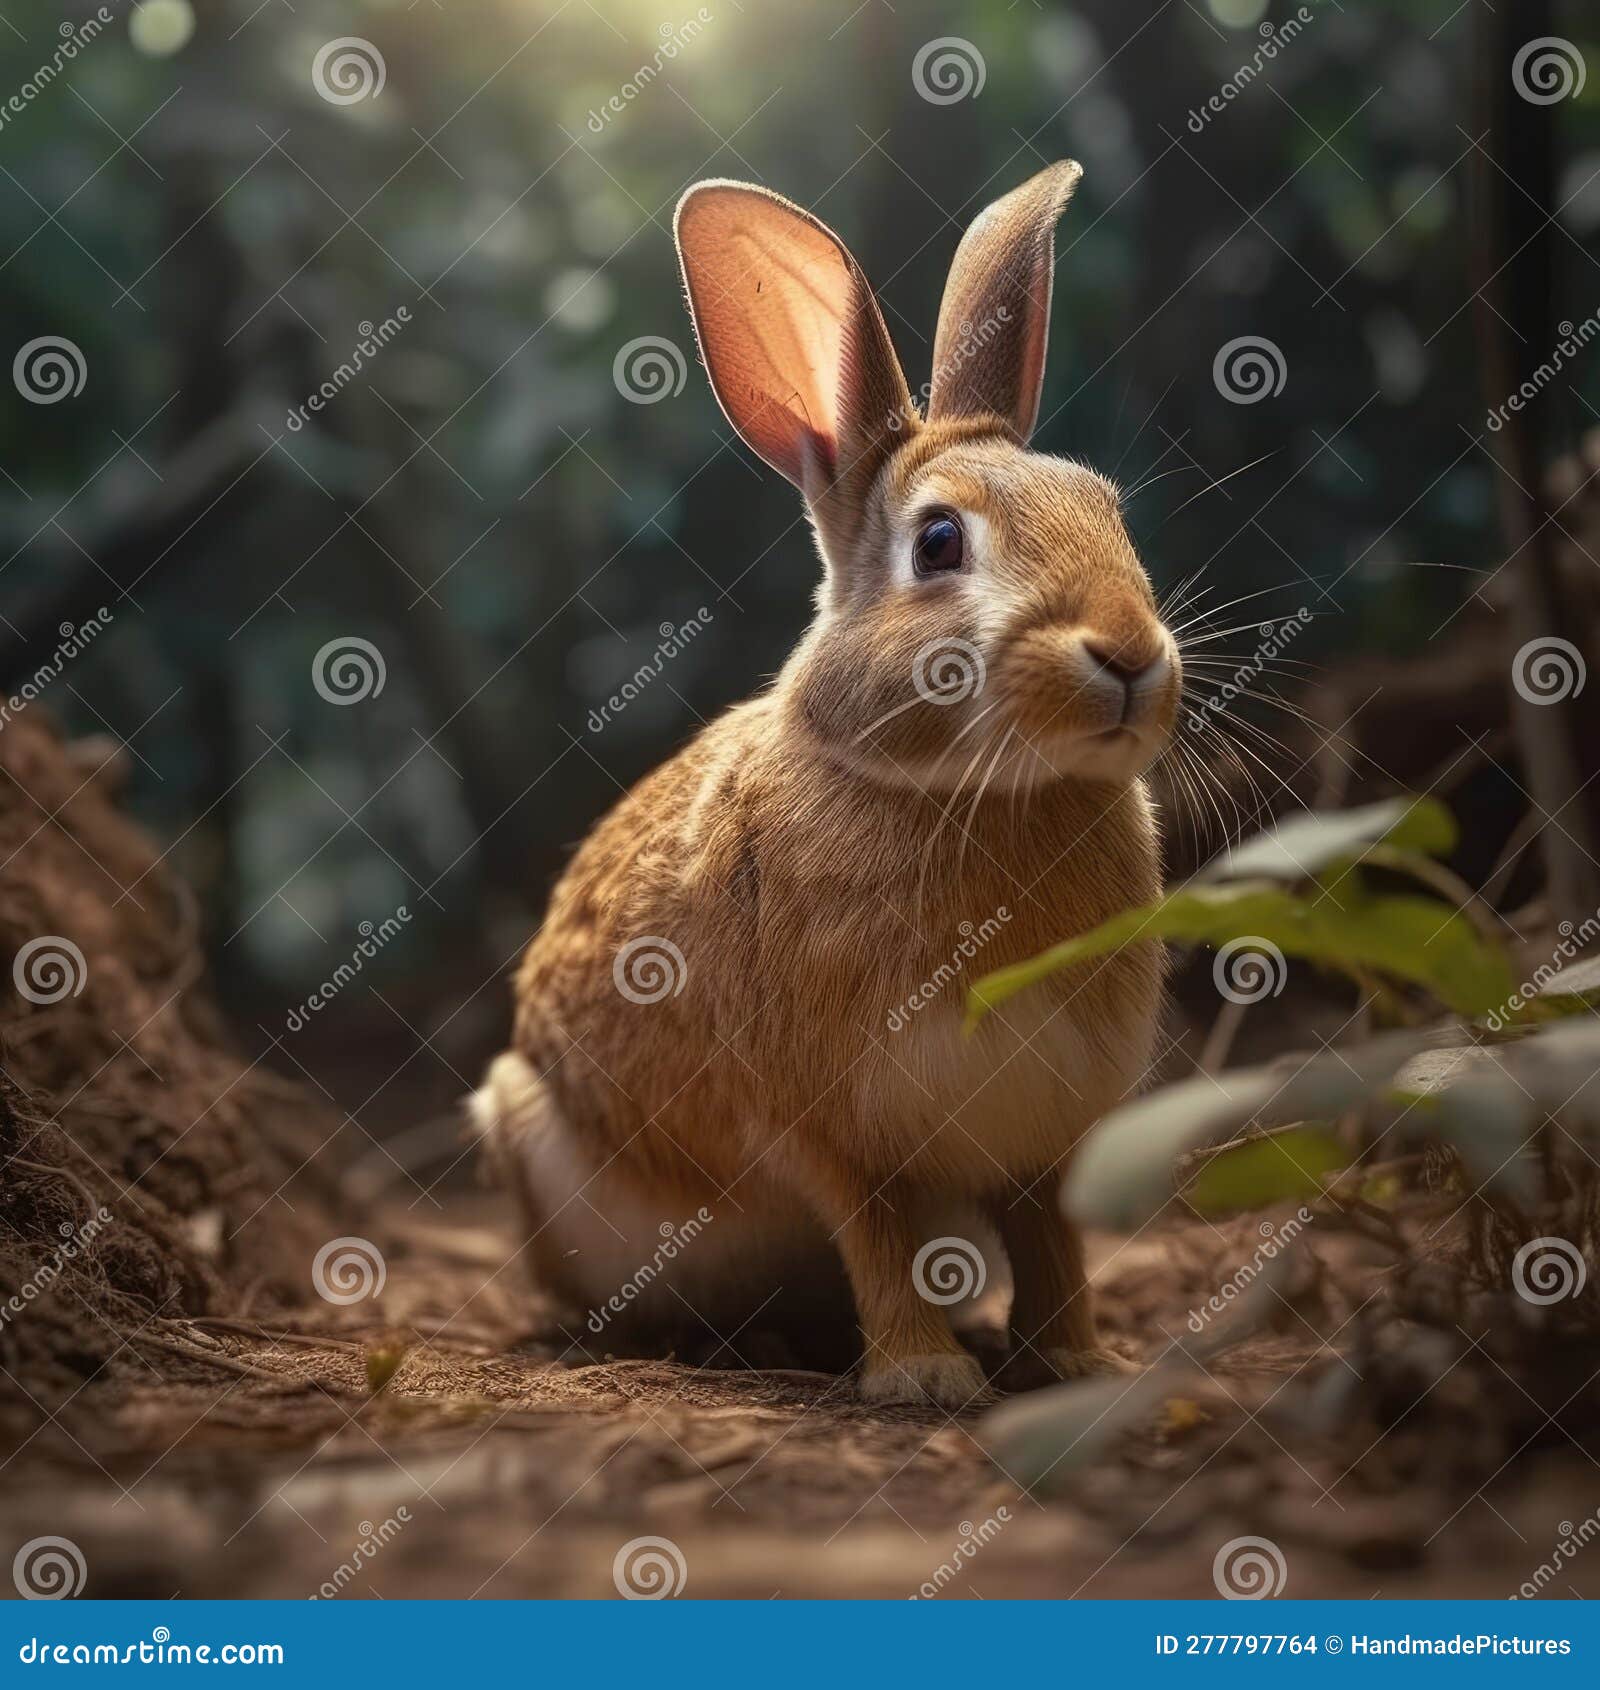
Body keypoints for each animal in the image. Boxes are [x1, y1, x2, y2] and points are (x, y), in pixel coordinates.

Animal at [472, 160, 1181, 1408]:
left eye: (1106, 506)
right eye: (939, 542)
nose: (1131, 655)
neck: (958, 786)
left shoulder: (1042, 1131)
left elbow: (1051, 1236)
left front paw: (1078, 1360)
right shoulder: (829, 1128)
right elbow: (878, 1234)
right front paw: (924, 1378)